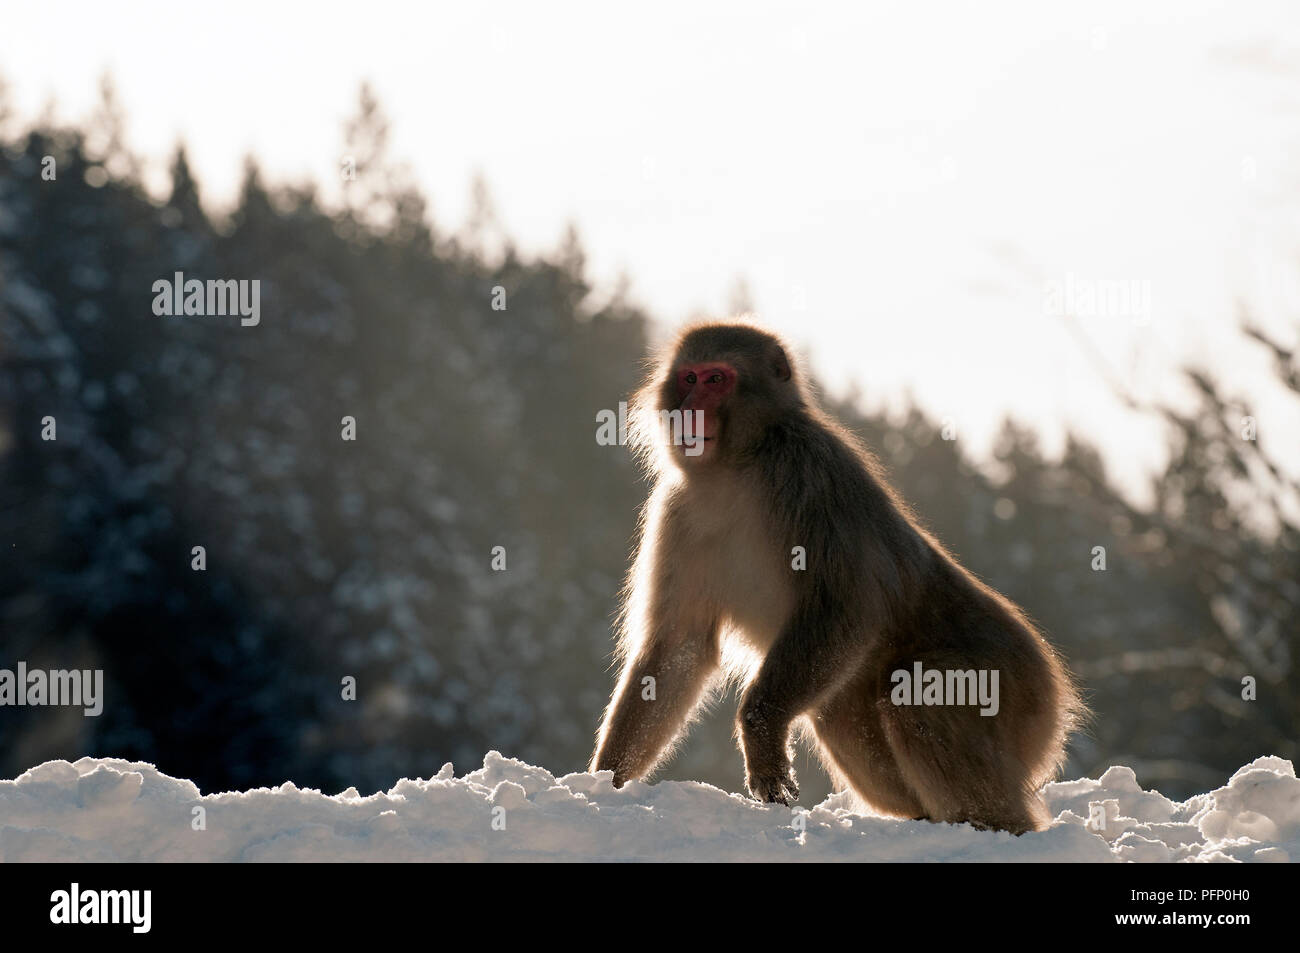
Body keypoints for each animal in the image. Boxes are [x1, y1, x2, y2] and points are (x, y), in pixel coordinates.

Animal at [590, 320, 1085, 834]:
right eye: (688, 378)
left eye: (716, 380)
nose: (688, 409)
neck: (739, 463)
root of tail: (1056, 697)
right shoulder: (677, 510)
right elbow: (678, 648)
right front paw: (605, 782)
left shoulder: (807, 478)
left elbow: (846, 606)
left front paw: (761, 734)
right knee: (841, 711)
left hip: (1016, 687)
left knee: (921, 697)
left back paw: (998, 829)